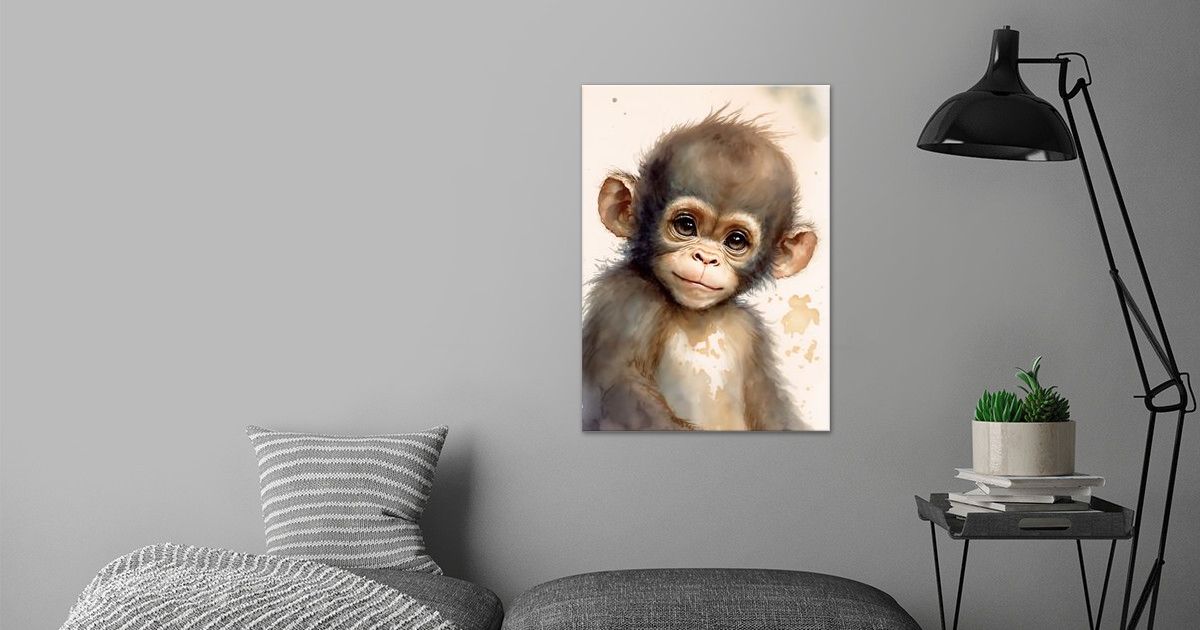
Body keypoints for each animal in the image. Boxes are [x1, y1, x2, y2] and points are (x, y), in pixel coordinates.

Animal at [582, 110, 818, 431]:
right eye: (686, 225)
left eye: (735, 241)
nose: (706, 258)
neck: (698, 316)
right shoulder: (626, 300)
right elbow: (620, 390)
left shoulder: (754, 337)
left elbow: (775, 412)